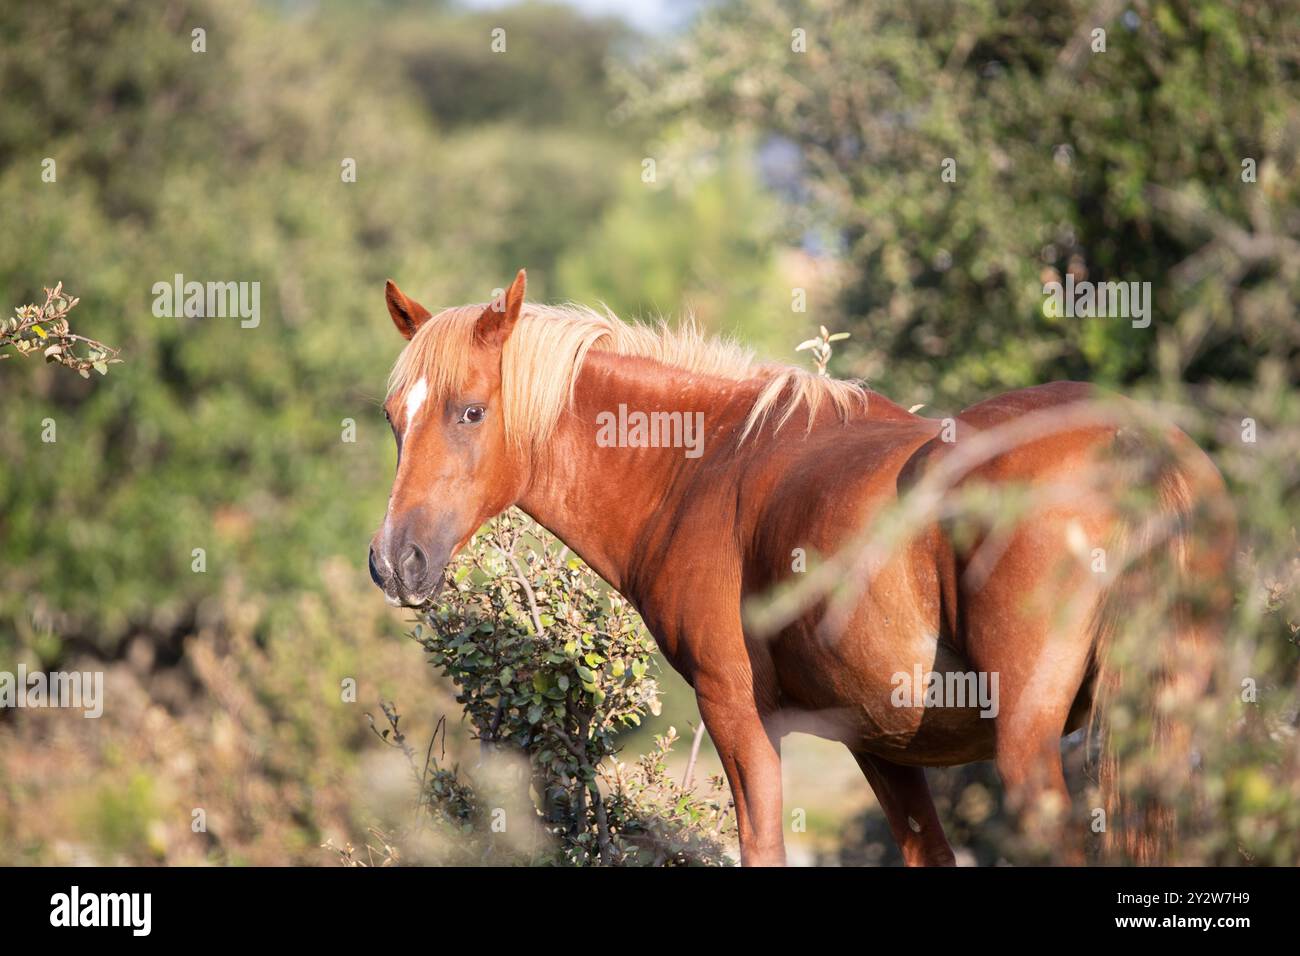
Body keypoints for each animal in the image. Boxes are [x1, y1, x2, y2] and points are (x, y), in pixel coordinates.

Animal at [368, 269, 1236, 866]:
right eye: (392, 417)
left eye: (471, 412)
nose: (394, 561)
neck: (698, 465)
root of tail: (1132, 444)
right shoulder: (883, 747)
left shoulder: (739, 717)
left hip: (1029, 747)